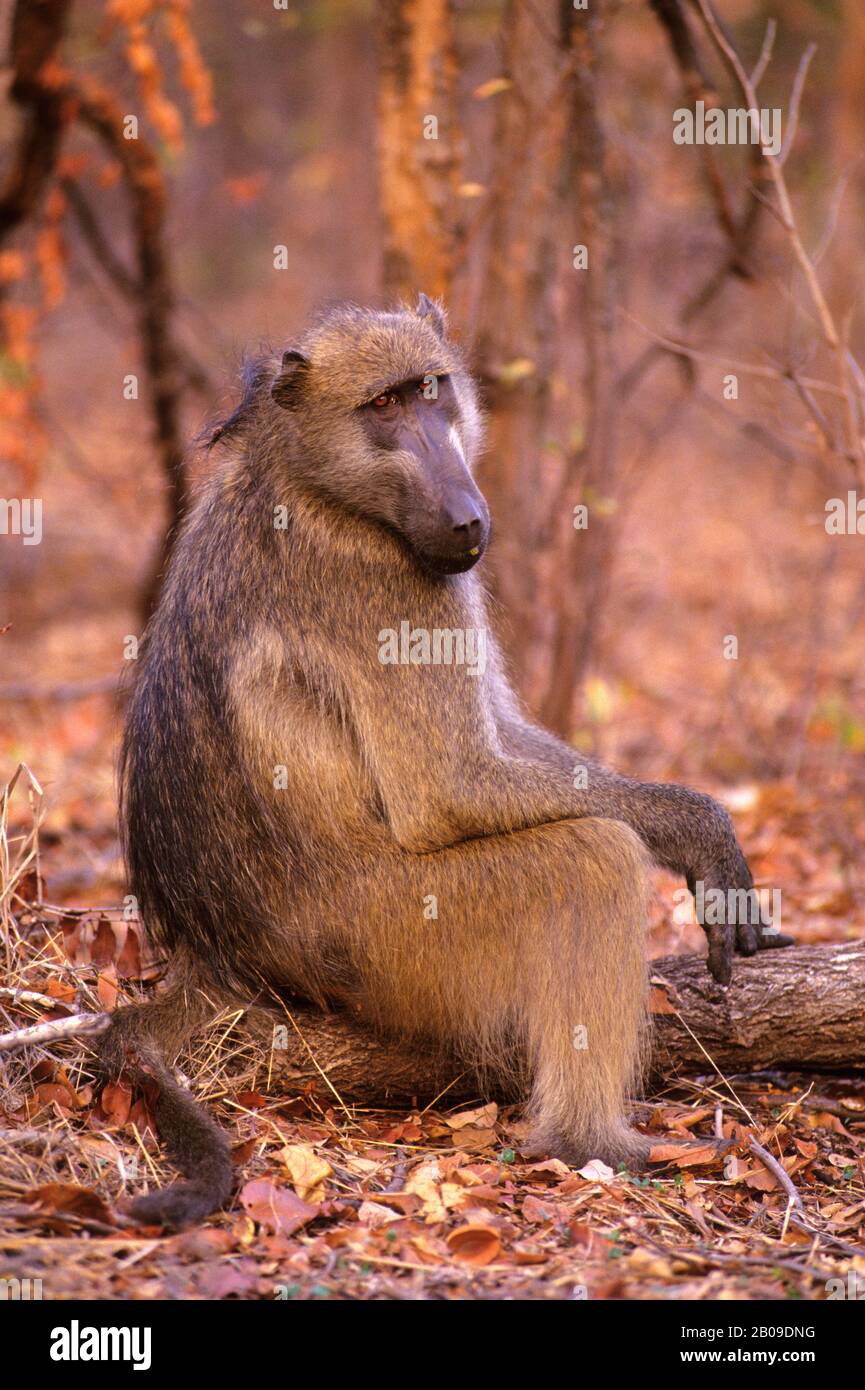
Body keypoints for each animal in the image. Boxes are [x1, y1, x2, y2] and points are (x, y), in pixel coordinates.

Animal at [100, 294, 792, 1228]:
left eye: (431, 390)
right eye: (383, 406)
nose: (465, 515)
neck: (303, 479)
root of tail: (212, 957)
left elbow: (501, 734)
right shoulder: (393, 583)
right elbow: (452, 789)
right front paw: (700, 832)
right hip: (389, 941)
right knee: (593, 861)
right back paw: (591, 1145)